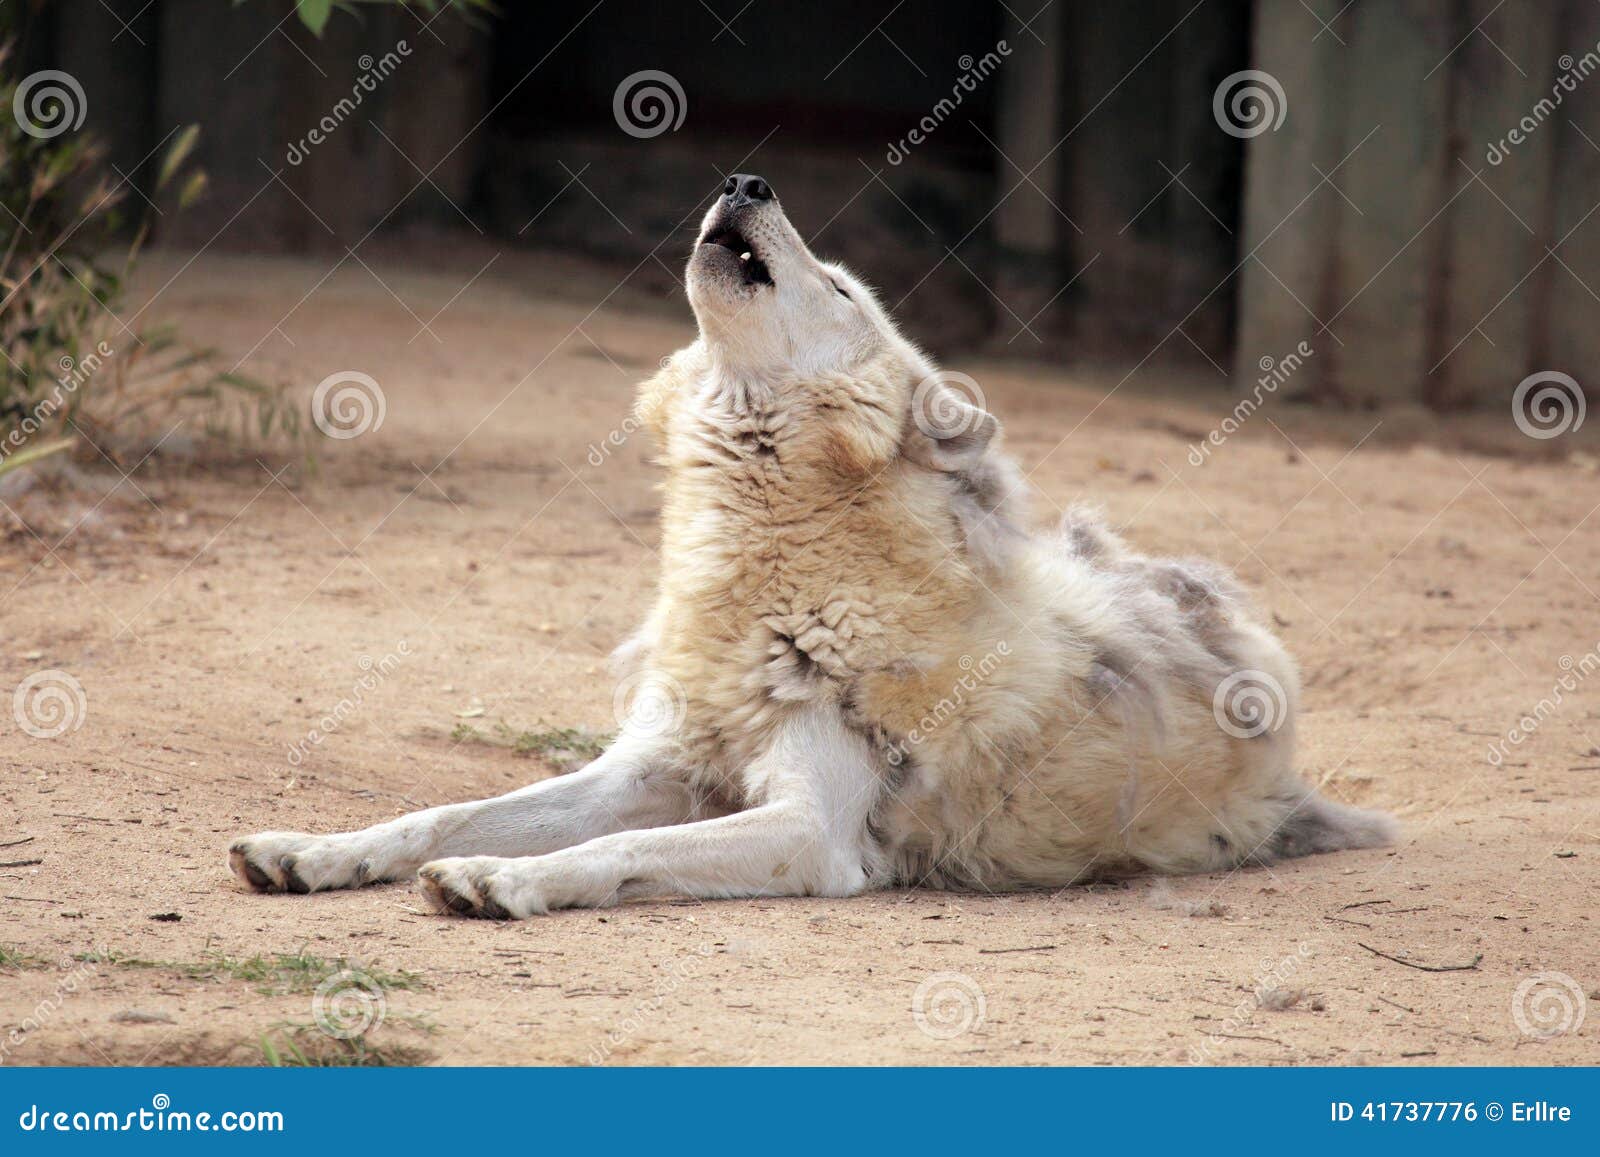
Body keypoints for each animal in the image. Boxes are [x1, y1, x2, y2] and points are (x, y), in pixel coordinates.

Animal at [229, 174, 1395, 918]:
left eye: (838, 287)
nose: (747, 177)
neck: (766, 587)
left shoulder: (808, 829)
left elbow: (617, 847)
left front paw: (504, 881)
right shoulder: (651, 763)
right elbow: (444, 810)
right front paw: (313, 851)